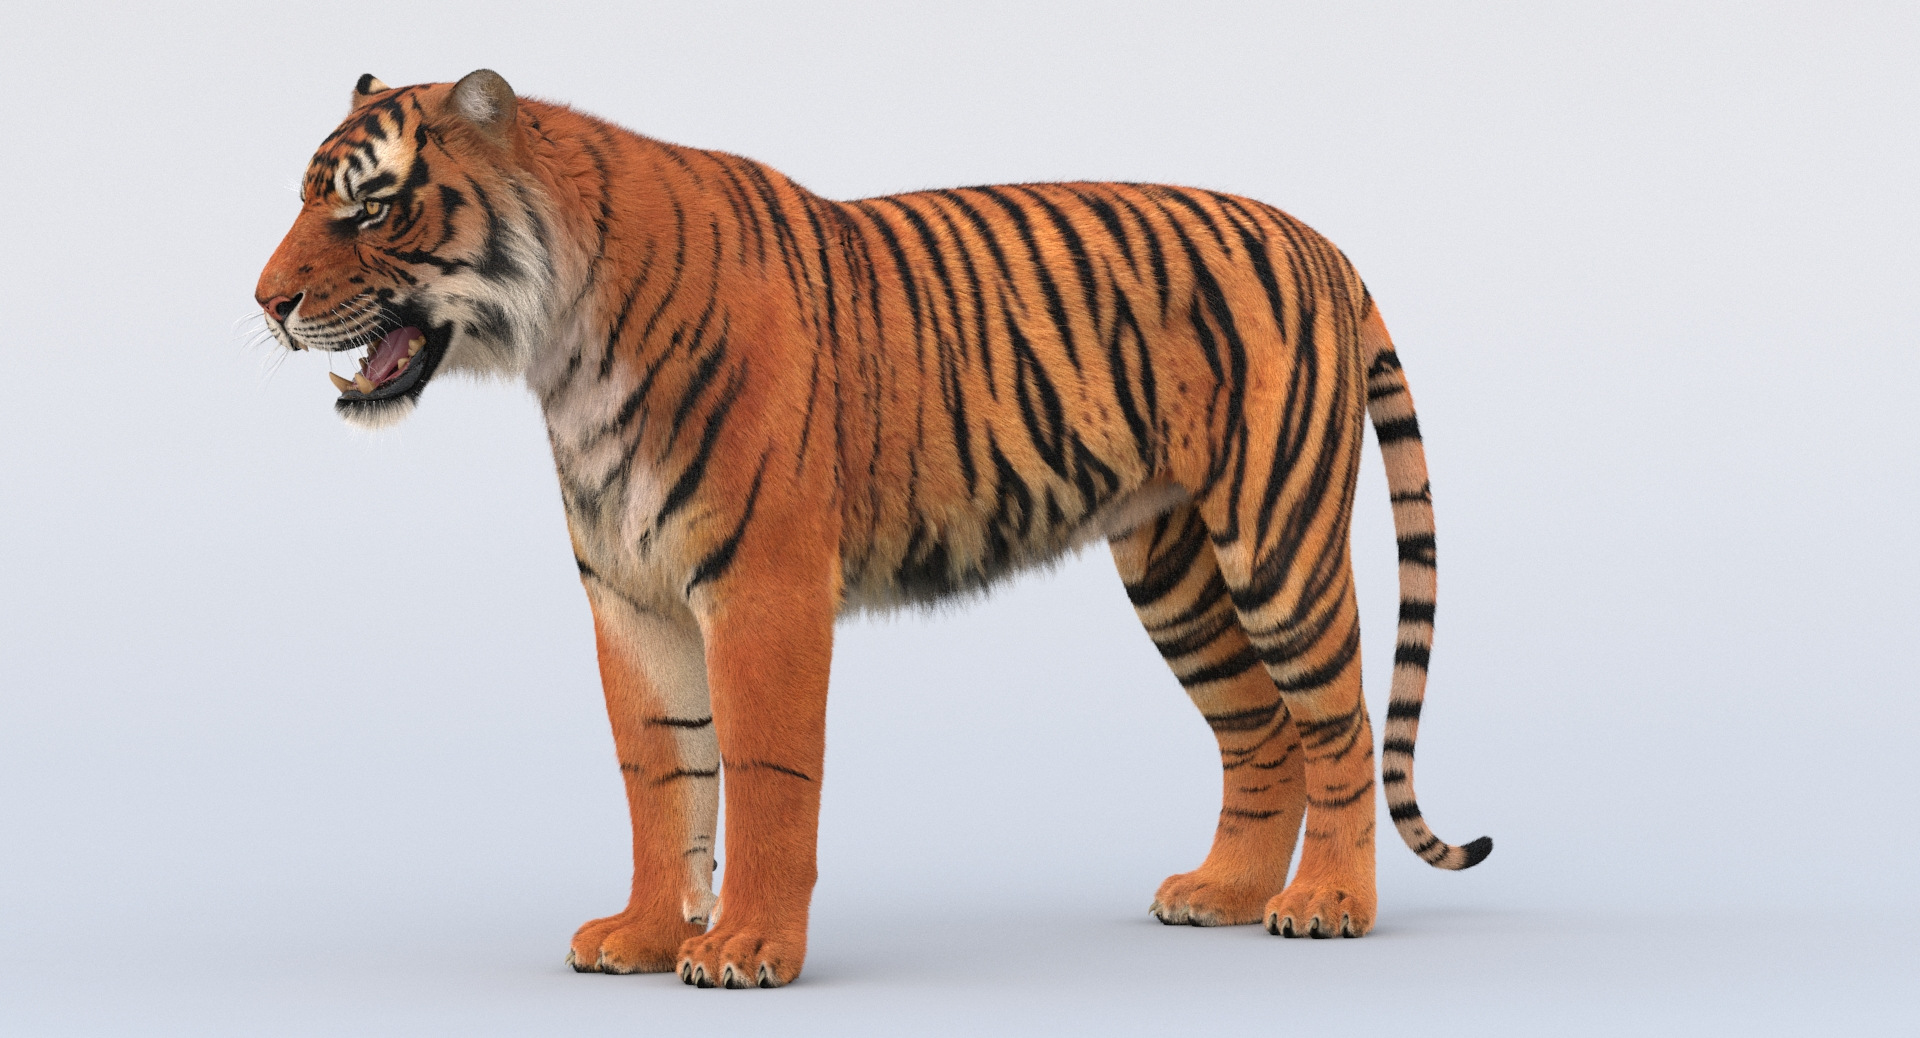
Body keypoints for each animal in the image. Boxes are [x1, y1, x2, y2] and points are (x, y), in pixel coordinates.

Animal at [255, 69, 1490, 988]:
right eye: (311, 200)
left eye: (370, 206)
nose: (265, 302)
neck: (561, 353)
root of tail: (1321, 244)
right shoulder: (631, 599)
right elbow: (658, 776)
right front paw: (644, 937)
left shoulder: (761, 588)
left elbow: (764, 774)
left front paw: (745, 949)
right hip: (1176, 572)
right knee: (1260, 729)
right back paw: (1224, 895)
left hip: (1274, 541)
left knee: (1335, 720)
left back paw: (1327, 904)